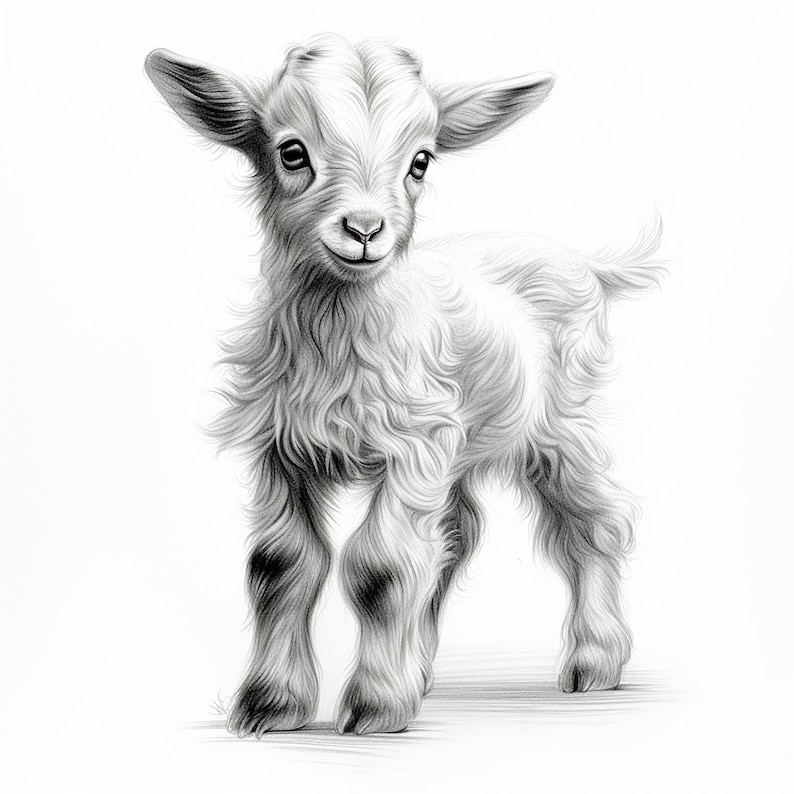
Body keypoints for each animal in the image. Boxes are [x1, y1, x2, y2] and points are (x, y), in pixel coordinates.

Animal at [145, 34, 662, 736]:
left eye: (420, 161)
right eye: (291, 151)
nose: (365, 231)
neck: (340, 333)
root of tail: (584, 263)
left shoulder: (412, 447)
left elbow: (381, 567)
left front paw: (374, 707)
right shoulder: (281, 449)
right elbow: (280, 564)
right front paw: (270, 705)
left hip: (563, 423)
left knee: (594, 522)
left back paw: (594, 662)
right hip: (463, 446)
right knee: (452, 539)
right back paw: (421, 672)